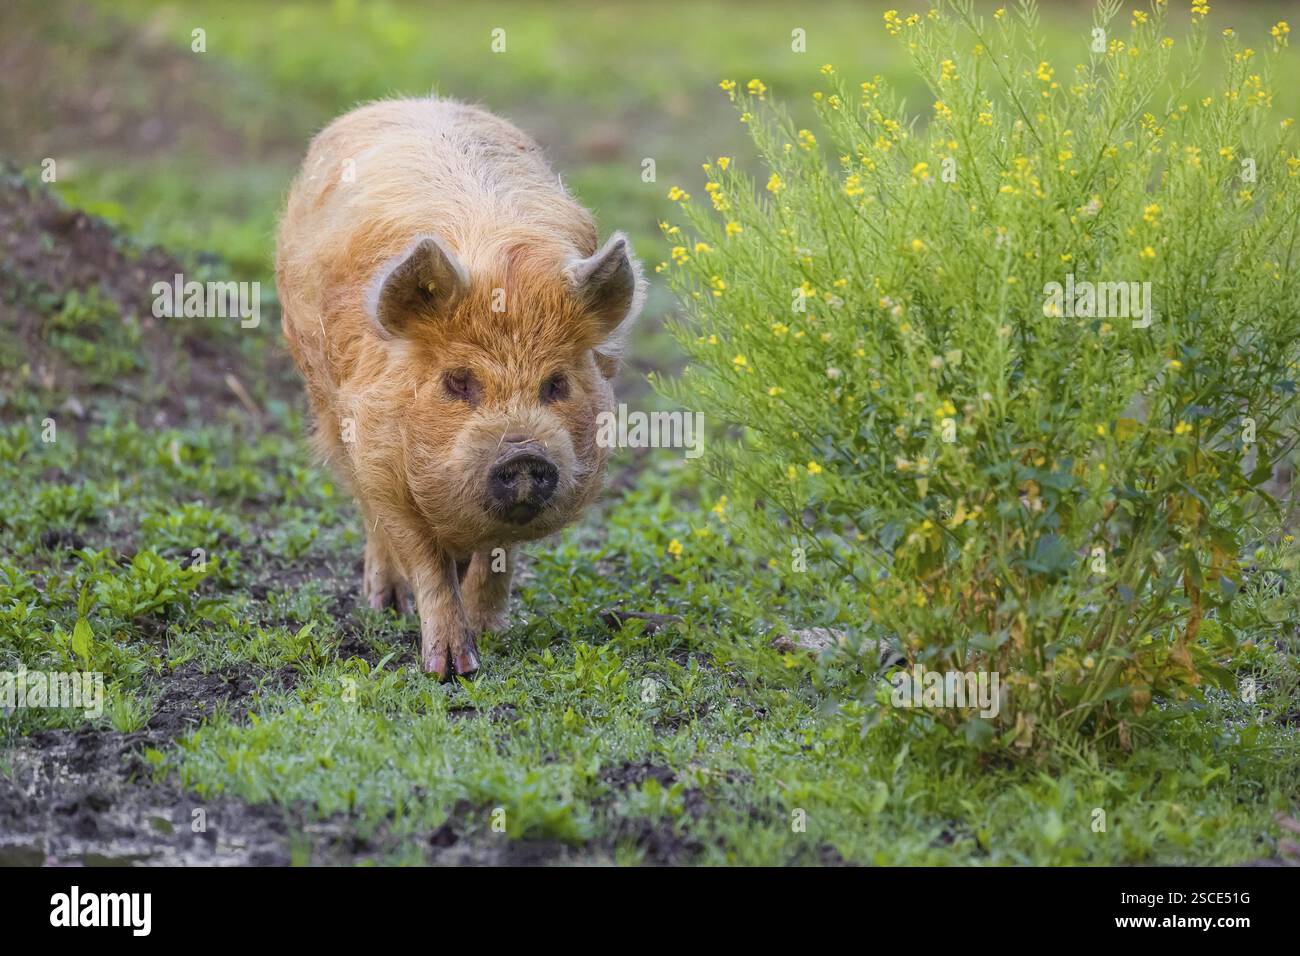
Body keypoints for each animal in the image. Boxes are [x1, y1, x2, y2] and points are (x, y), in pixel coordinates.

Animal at [275, 98, 644, 680]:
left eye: (557, 382)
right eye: (458, 381)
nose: (522, 454)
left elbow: (500, 557)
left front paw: (493, 634)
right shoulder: (378, 455)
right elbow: (420, 553)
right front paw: (452, 669)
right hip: (325, 403)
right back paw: (385, 603)